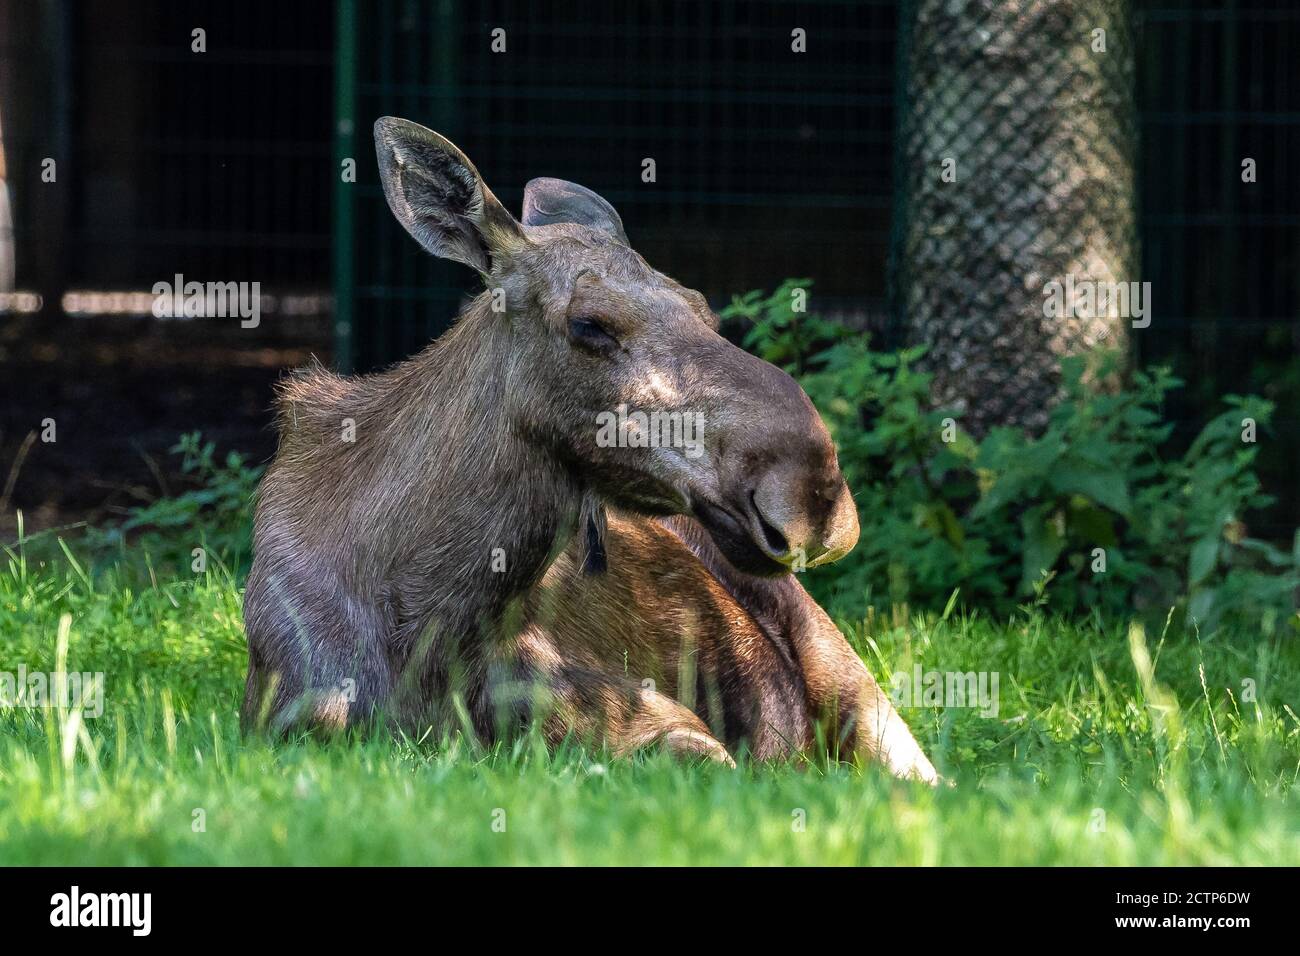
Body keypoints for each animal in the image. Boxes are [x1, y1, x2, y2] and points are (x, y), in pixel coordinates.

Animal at [241, 116, 937, 783]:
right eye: (590, 323)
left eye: (701, 306)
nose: (815, 498)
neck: (432, 624)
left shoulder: (662, 722)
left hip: (866, 703)